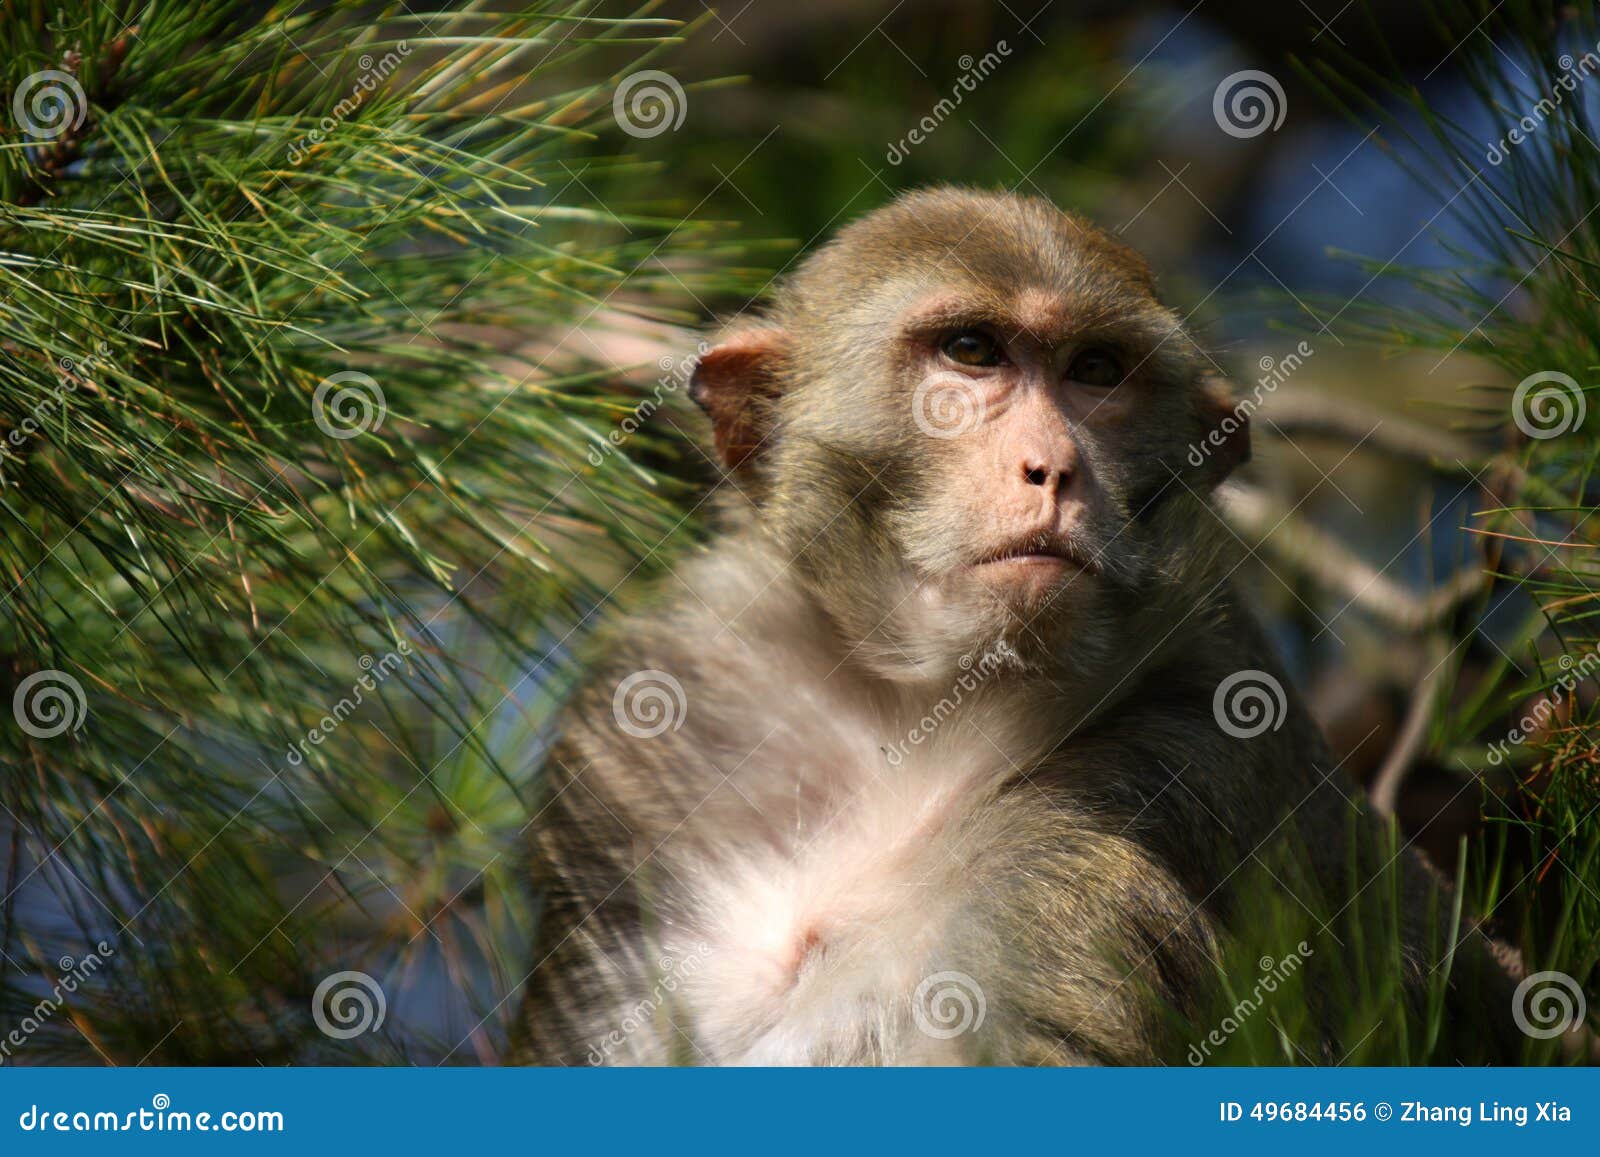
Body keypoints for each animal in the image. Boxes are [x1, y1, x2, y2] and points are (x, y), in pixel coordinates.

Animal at [509, 186, 1524, 1066]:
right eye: (972, 350)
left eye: (1097, 372)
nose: (1056, 466)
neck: (915, 708)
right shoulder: (653, 720)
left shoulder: (1159, 782)